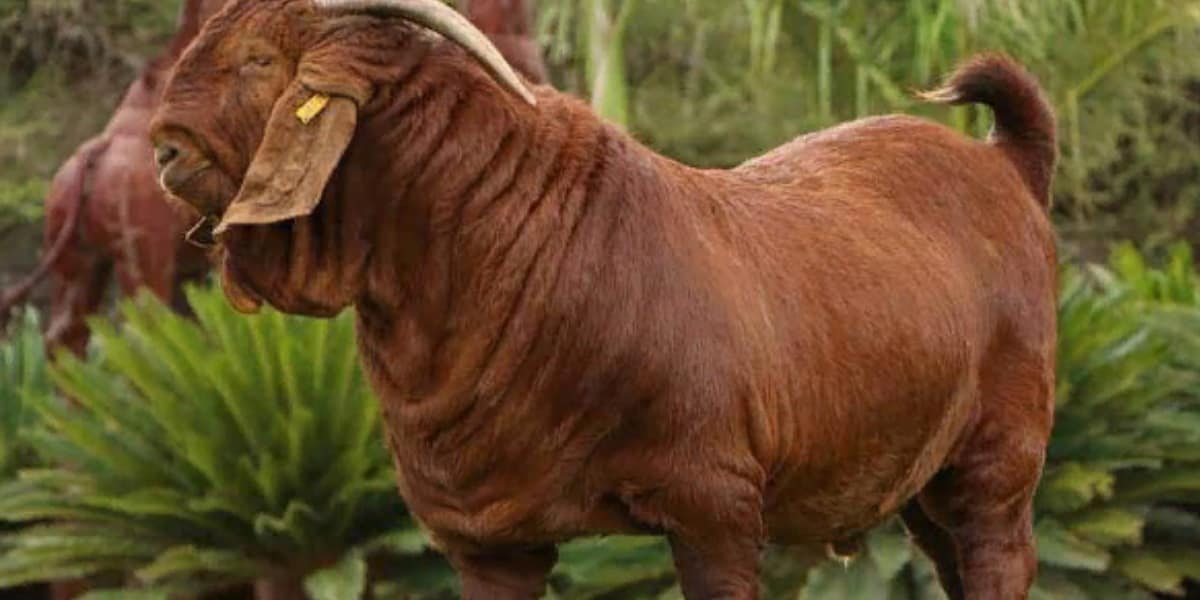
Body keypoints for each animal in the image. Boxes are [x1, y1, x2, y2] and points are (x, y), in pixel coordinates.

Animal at [151, 1, 1058, 598]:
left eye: (259, 61)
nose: (163, 146)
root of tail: (1007, 163)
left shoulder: (715, 505)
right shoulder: (488, 540)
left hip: (1002, 447)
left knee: (999, 555)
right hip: (926, 476)